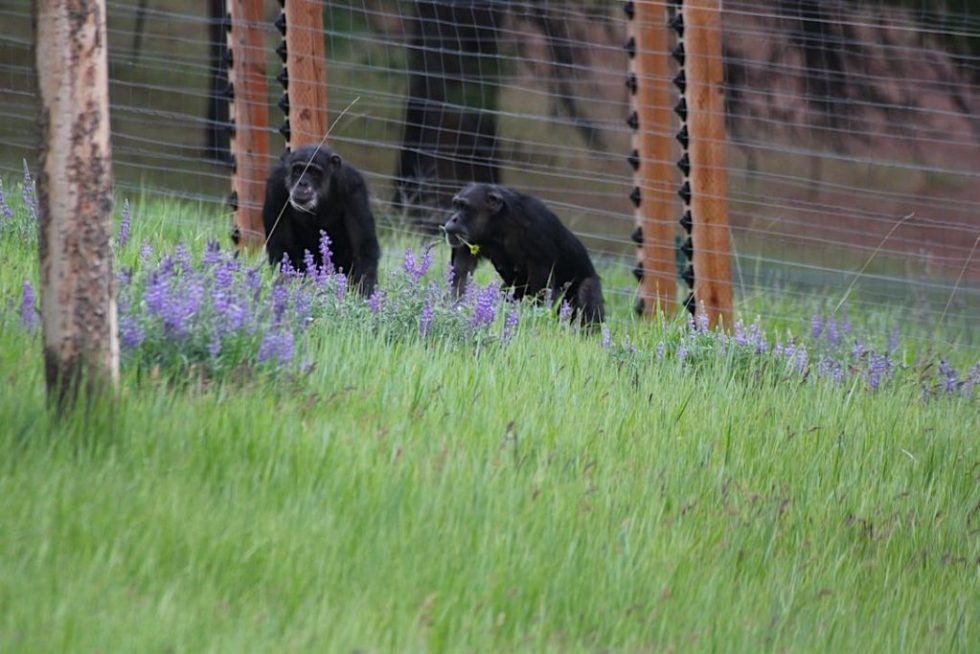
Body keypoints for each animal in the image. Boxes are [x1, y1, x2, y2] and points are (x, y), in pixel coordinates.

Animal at [262, 145, 381, 294]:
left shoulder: (353, 186)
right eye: (298, 170)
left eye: (313, 172)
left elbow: (362, 247)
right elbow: (282, 247)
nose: (302, 182)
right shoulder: (275, 186)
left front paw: (364, 293)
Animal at [442, 183, 605, 324]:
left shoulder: (538, 222)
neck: (499, 224)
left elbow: (542, 286)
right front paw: (454, 310)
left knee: (586, 291)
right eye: (456, 205)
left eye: (464, 206)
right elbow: (460, 274)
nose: (453, 218)